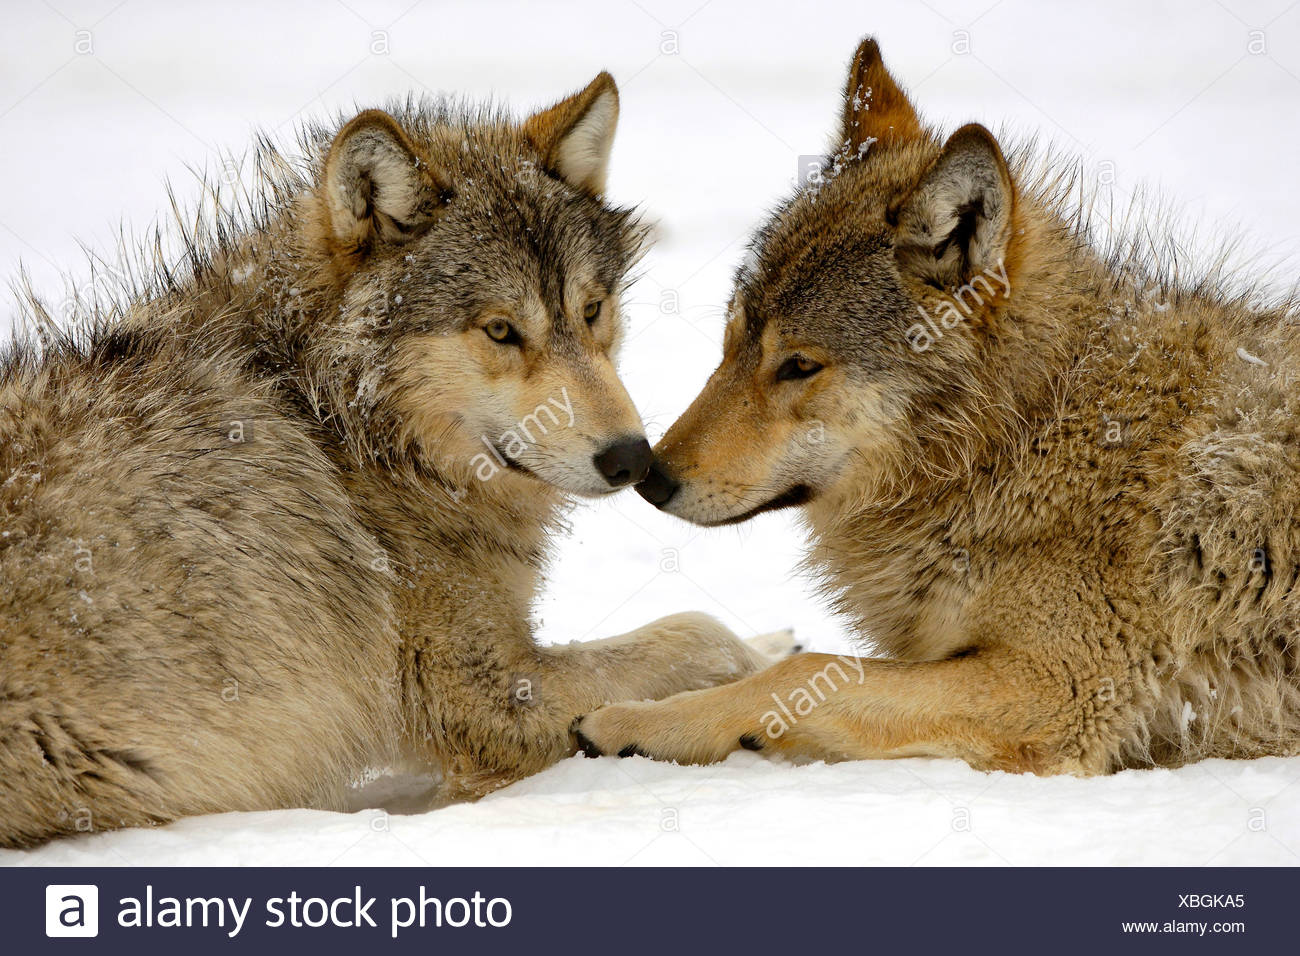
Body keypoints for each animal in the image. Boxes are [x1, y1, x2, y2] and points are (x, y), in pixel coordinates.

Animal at [0, 73, 779, 847]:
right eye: (501, 330)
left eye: (591, 311)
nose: (632, 459)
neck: (342, 425)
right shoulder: (491, 695)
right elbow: (699, 632)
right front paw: (769, 663)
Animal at [573, 39, 1300, 775]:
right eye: (730, 345)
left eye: (798, 366)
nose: (650, 477)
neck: (1023, 437)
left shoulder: (1052, 688)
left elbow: (799, 671)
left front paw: (638, 722)